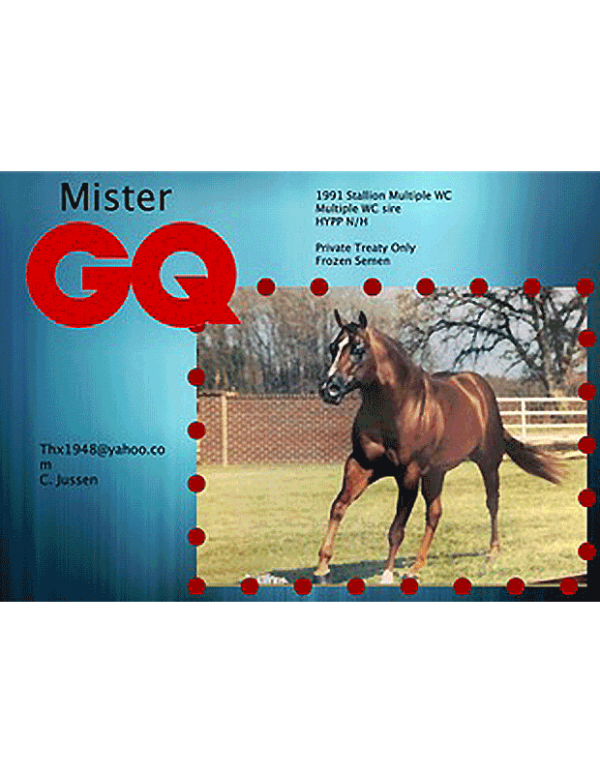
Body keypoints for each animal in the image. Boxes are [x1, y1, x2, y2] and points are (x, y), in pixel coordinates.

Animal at [316, 309, 564, 584]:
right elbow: (338, 507)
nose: (329, 389)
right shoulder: (361, 464)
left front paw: (387, 574)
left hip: (488, 463)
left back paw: (492, 553)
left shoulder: (409, 473)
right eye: (333, 347)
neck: (398, 405)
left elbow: (396, 528)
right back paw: (416, 566)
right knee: (435, 513)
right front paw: (322, 568)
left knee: (492, 502)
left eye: (358, 349)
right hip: (436, 473)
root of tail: (479, 389)